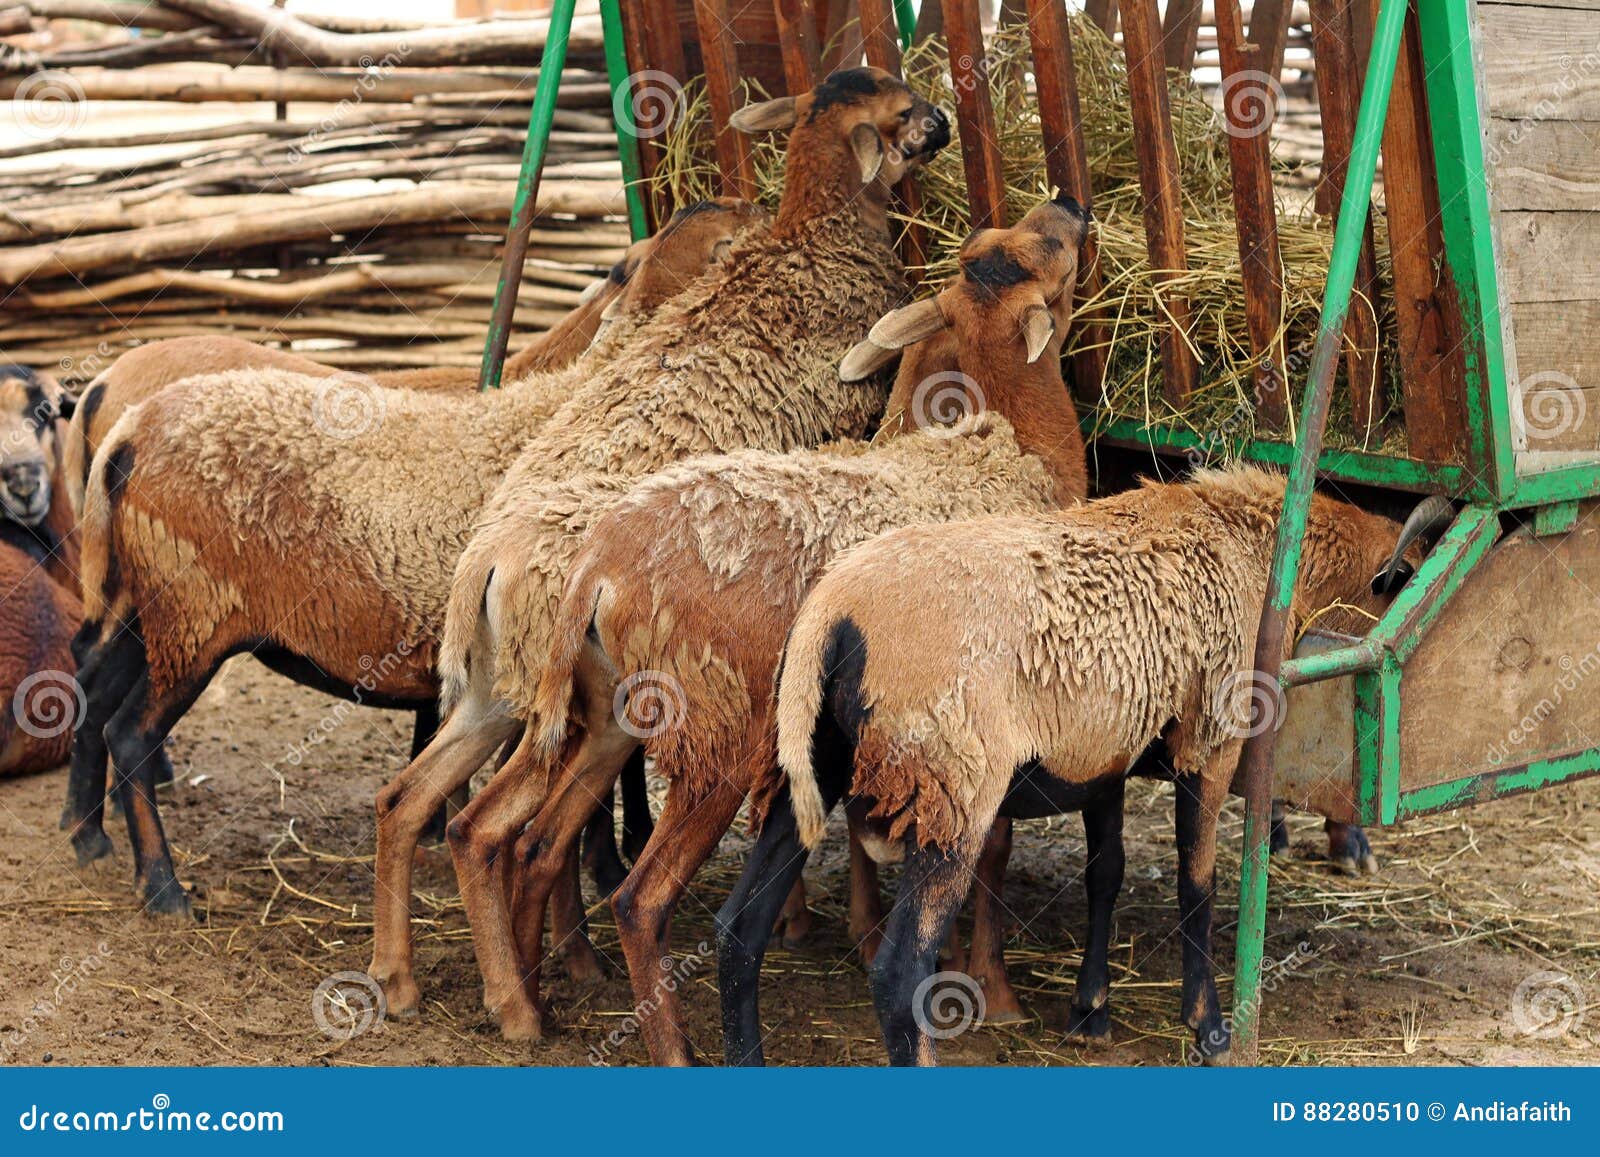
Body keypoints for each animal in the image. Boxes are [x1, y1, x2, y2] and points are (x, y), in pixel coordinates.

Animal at [59, 197, 765, 922]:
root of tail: (128, 430)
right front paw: (606, 865)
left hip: (148, 605)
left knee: (91, 686)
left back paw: (88, 839)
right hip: (194, 614)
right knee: (130, 731)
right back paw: (162, 887)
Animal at [365, 67, 953, 1029]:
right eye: (903, 110)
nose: (941, 121)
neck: (808, 239)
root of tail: (486, 564)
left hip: (500, 693)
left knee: (414, 799)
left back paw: (408, 975)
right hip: (558, 704)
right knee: (491, 827)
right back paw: (523, 999)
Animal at [466, 196, 1096, 1063]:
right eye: (1042, 254)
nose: (1072, 205)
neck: (1022, 447)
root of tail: (599, 563)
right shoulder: (979, 712)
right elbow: (989, 844)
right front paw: (991, 991)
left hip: (608, 718)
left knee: (521, 833)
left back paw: (533, 999)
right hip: (717, 735)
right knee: (638, 896)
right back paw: (669, 1046)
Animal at [722, 469, 1451, 1065]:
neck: (1256, 554)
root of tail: (833, 615)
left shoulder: (1104, 757)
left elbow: (1106, 875)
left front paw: (1090, 1010)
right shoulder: (1210, 743)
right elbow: (1197, 887)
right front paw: (1209, 1027)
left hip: (807, 769)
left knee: (738, 931)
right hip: (953, 794)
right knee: (899, 974)